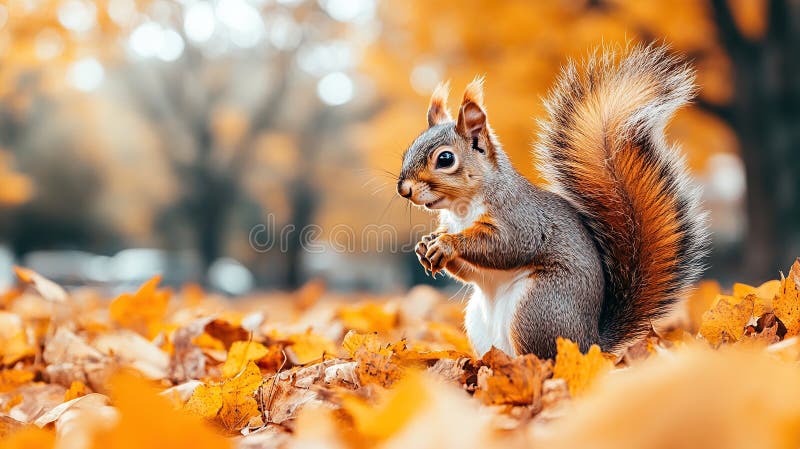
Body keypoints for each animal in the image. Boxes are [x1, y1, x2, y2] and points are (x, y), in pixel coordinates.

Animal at [396, 44, 709, 359]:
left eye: (445, 159)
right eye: (407, 151)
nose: (404, 189)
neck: (461, 210)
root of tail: (591, 345)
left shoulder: (521, 219)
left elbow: (506, 246)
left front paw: (448, 244)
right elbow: (470, 271)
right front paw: (426, 245)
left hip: (536, 308)